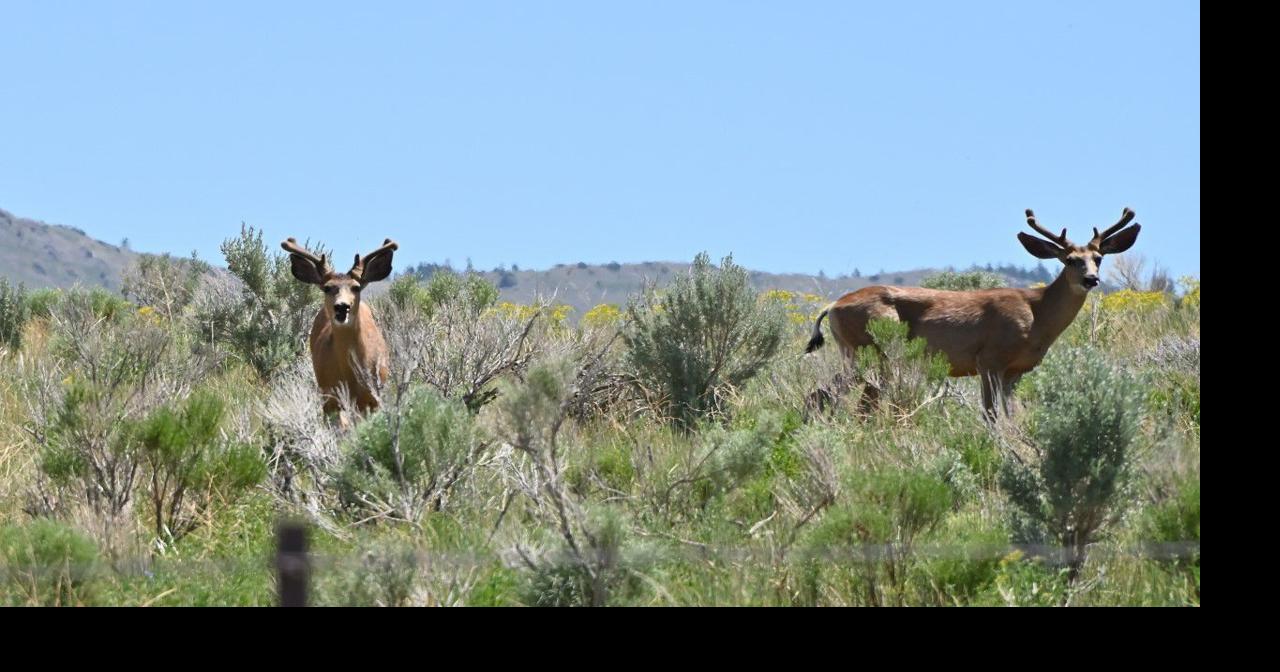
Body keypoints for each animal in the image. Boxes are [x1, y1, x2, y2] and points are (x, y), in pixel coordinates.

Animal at [281, 237, 399, 423]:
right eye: (327, 287)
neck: (350, 375)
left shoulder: (373, 398)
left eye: (356, 287)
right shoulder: (330, 397)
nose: (342, 306)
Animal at [805, 207, 1141, 418]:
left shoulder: (1016, 371)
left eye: (1098, 258)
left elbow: (1013, 416)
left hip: (855, 352)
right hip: (870, 349)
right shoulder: (989, 359)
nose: (1091, 279)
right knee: (844, 398)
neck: (1037, 315)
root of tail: (832, 307)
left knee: (832, 395)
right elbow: (990, 415)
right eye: (1070, 260)